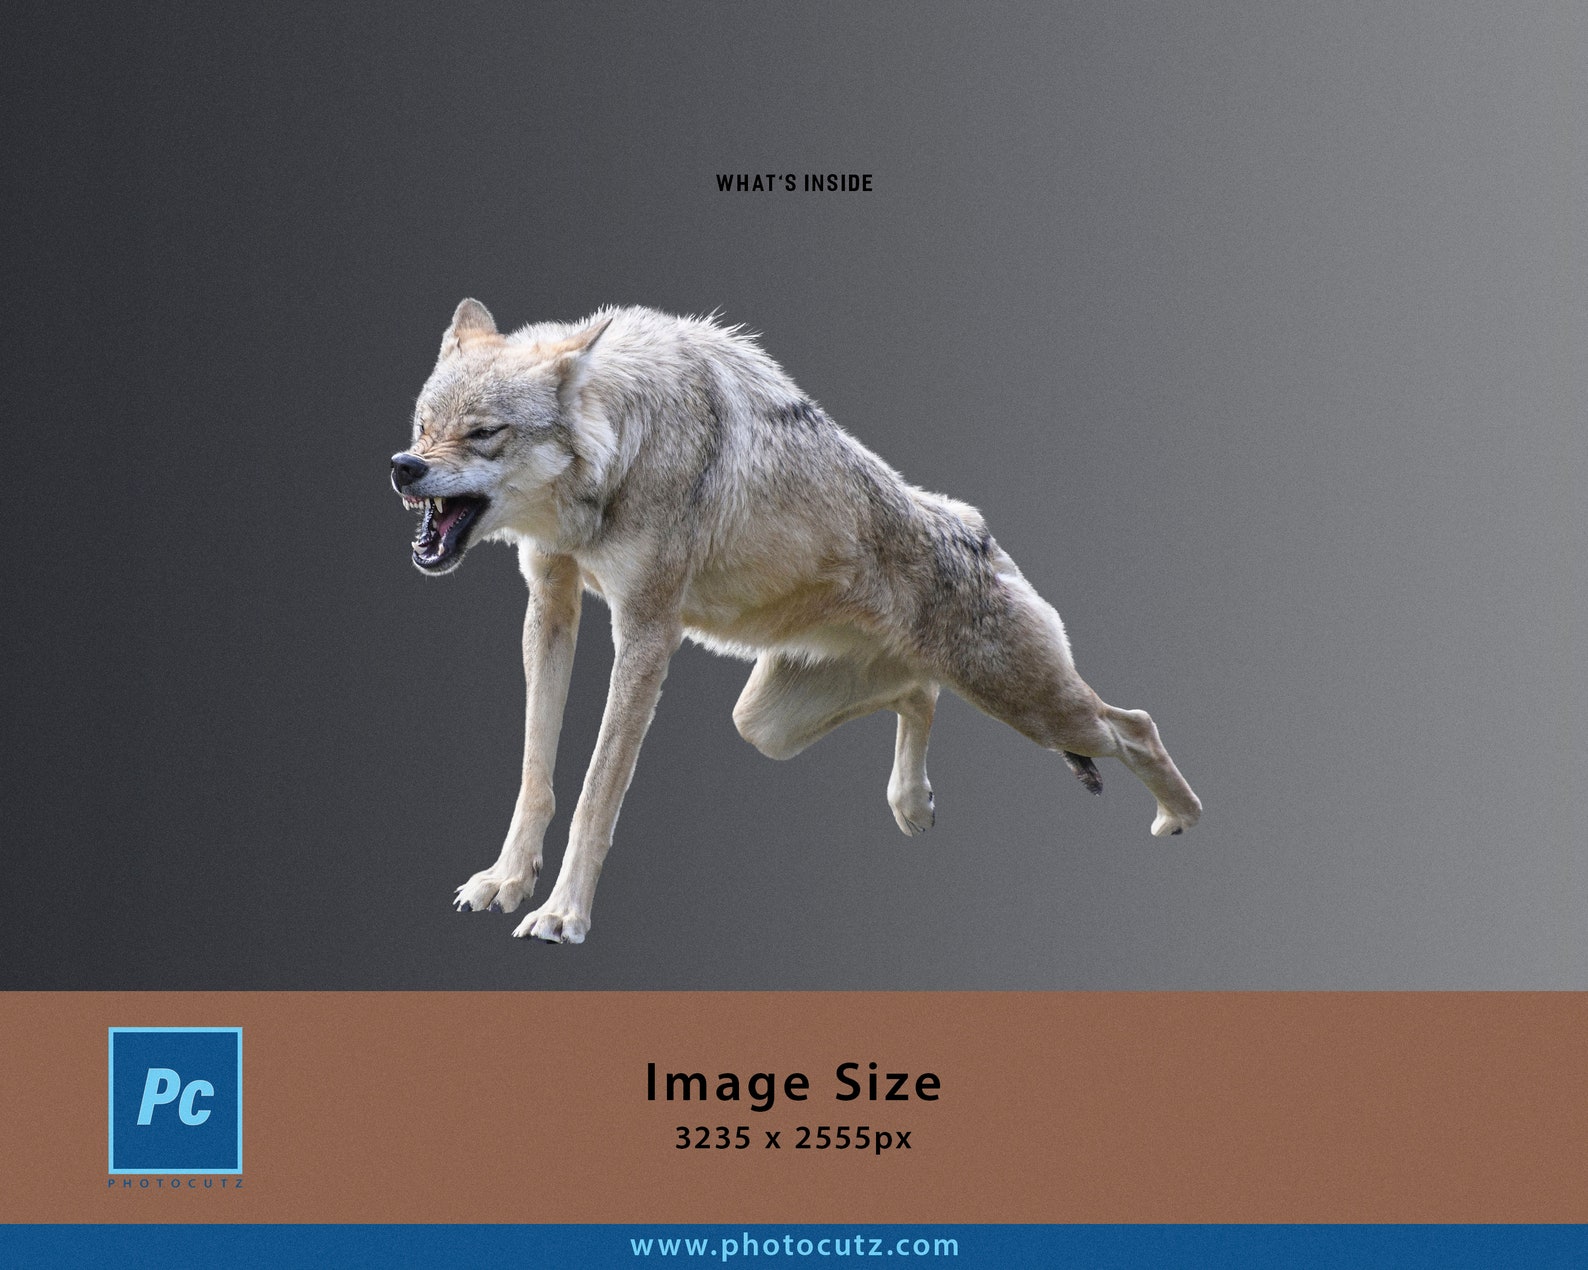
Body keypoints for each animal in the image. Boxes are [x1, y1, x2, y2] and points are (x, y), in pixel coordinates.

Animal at [391, 300, 1201, 943]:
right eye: (423, 425)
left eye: (483, 433)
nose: (403, 467)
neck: (626, 445)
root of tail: (977, 529)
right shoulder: (551, 602)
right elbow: (536, 773)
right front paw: (505, 880)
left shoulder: (647, 631)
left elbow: (595, 792)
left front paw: (563, 914)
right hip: (766, 722)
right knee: (919, 693)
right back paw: (913, 802)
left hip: (1033, 707)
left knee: (1135, 725)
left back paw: (1182, 821)